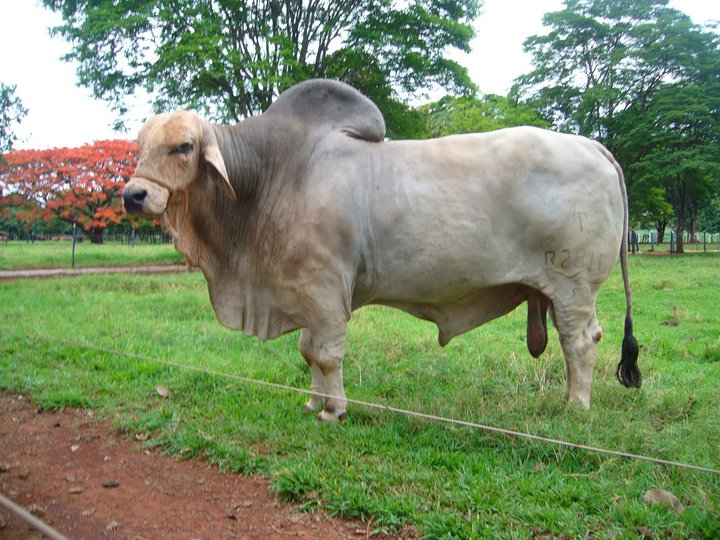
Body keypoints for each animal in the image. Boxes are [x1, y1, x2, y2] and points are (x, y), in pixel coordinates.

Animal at [122, 79, 640, 422]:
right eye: (140, 145)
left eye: (183, 146)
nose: (133, 195)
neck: (273, 176)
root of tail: (592, 146)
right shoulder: (303, 290)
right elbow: (307, 351)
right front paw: (313, 402)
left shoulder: (326, 288)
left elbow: (327, 354)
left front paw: (334, 410)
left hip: (574, 286)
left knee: (580, 341)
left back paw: (575, 407)